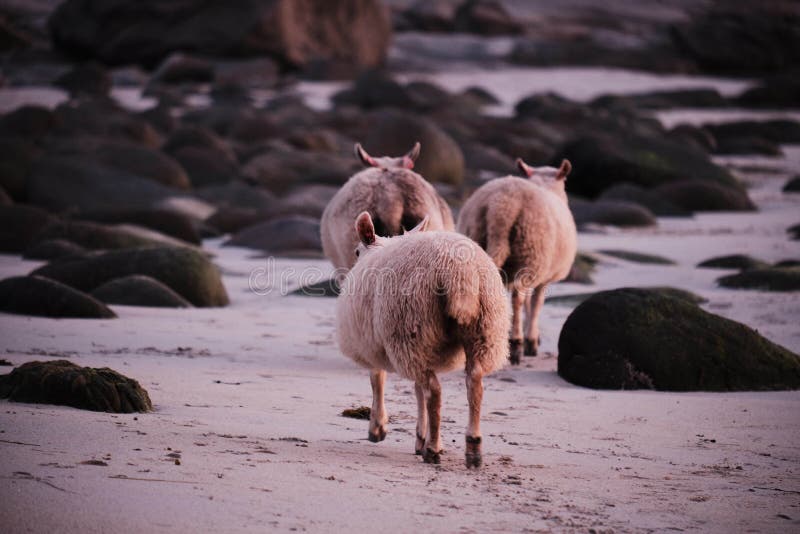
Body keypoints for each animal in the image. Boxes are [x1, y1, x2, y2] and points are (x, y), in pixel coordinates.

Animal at [336, 211, 509, 468]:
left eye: (357, 251)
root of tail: (459, 272)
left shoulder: (374, 340)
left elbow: (377, 379)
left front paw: (378, 428)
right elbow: (415, 389)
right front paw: (419, 438)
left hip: (410, 327)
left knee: (433, 391)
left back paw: (434, 449)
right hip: (483, 329)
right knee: (473, 382)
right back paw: (473, 447)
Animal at [456, 158, 577, 365]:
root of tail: (502, 206)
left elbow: (530, 303)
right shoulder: (542, 277)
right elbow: (535, 304)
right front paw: (532, 341)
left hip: (478, 236)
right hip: (530, 253)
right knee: (517, 299)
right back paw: (516, 344)